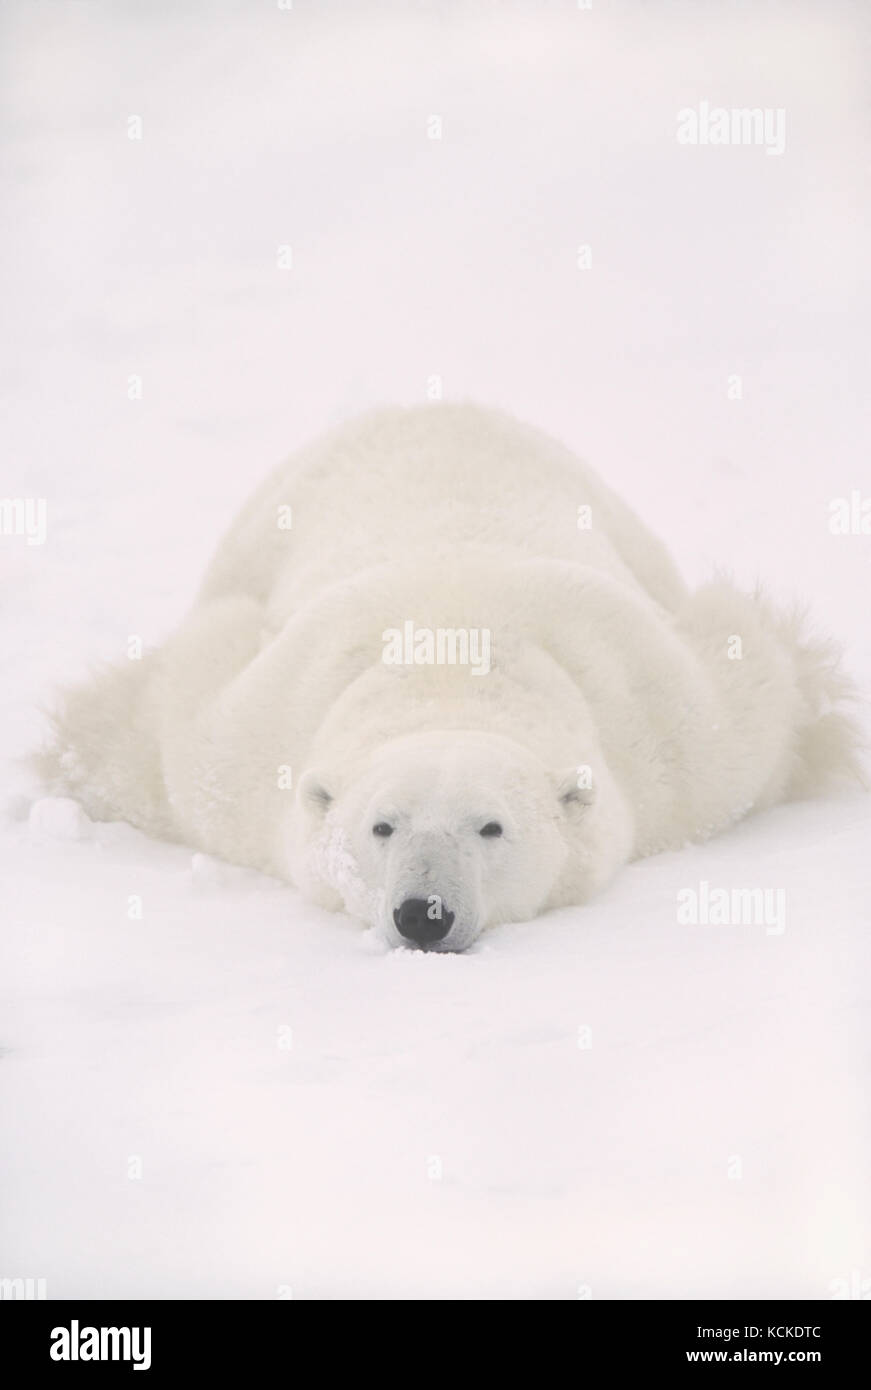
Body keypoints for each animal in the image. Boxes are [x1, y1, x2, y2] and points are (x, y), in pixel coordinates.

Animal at [37, 403, 862, 952]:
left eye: (490, 826)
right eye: (381, 825)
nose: (422, 913)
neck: (449, 670)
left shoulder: (674, 739)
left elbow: (754, 689)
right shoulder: (240, 747)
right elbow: (163, 723)